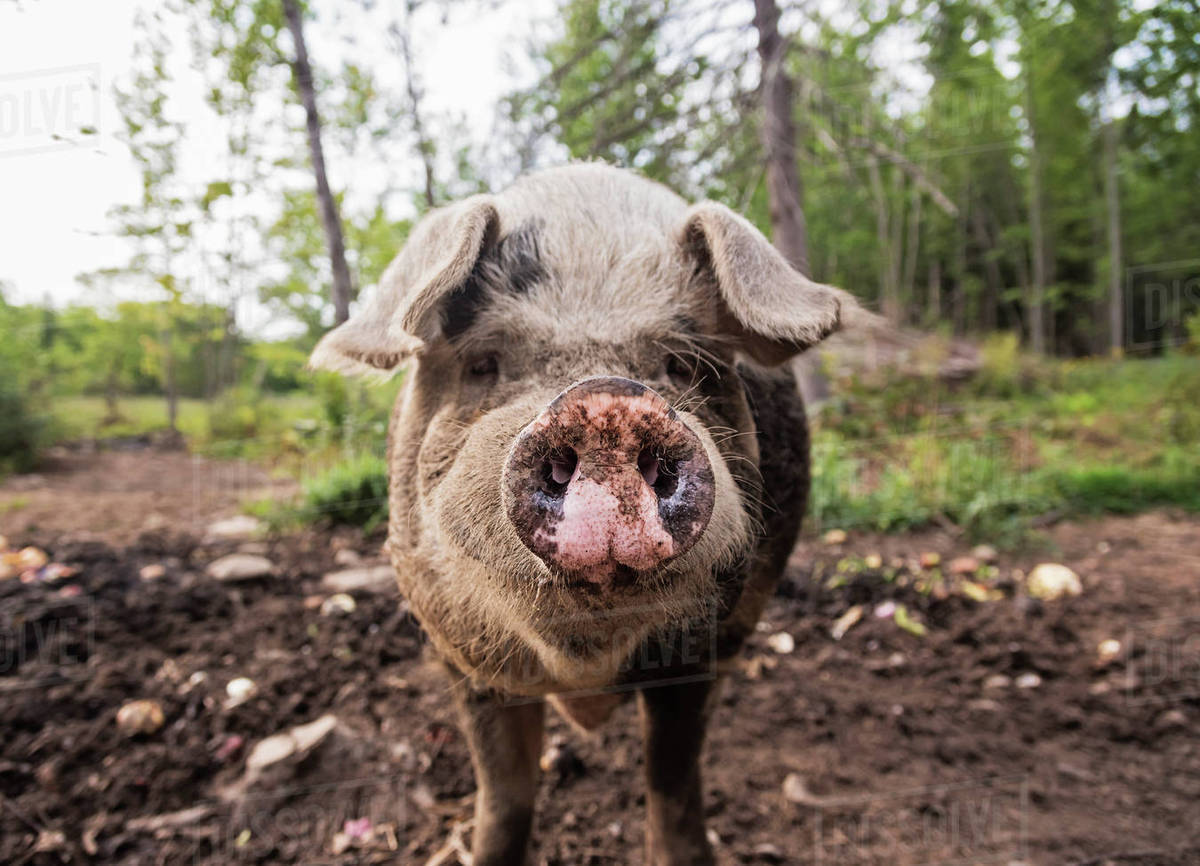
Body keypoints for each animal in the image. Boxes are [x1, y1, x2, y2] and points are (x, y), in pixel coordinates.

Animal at [309, 162, 859, 865]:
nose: (606, 406)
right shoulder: (458, 655)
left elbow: (672, 776)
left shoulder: (699, 652)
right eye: (483, 362)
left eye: (680, 363)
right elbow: (504, 793)